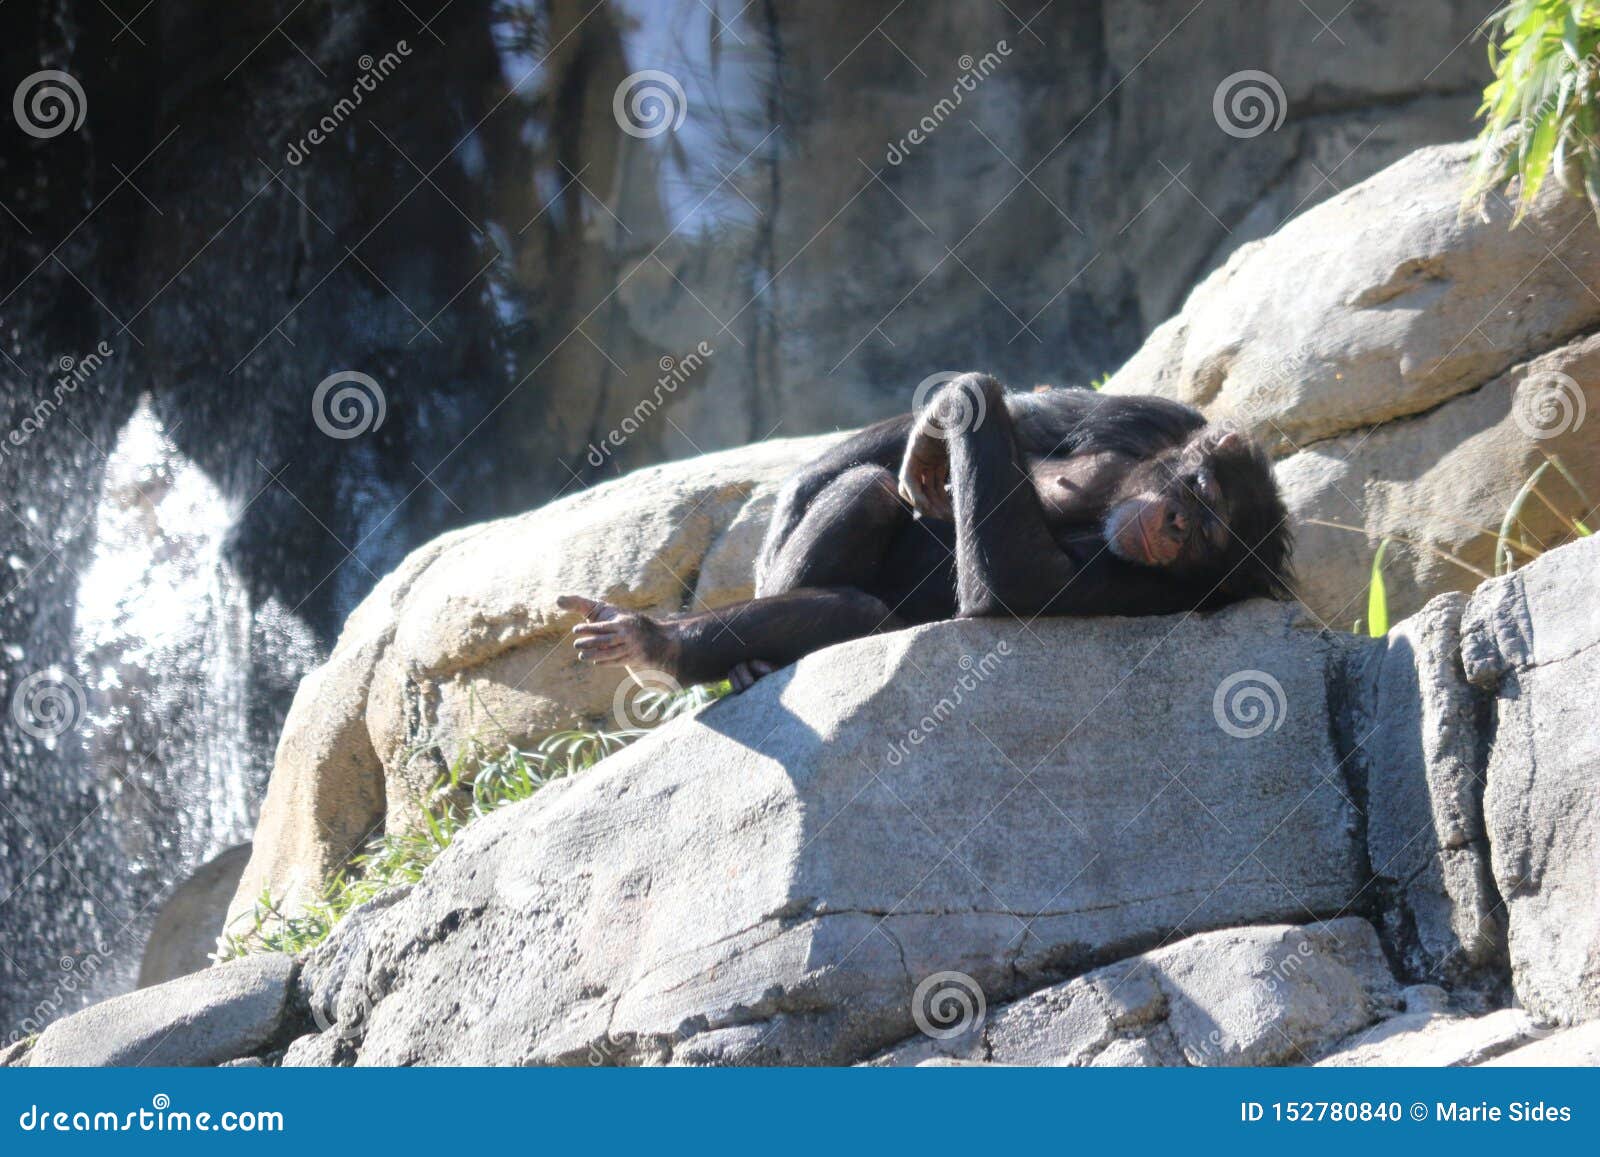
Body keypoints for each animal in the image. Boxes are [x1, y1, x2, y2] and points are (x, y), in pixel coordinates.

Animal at [559, 372, 1293, 690]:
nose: (1176, 525)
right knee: (872, 490)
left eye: (1210, 539)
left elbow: (1021, 580)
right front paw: (949, 409)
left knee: (858, 609)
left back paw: (654, 644)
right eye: (1201, 494)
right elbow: (1028, 415)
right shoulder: (1143, 415)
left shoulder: (1167, 595)